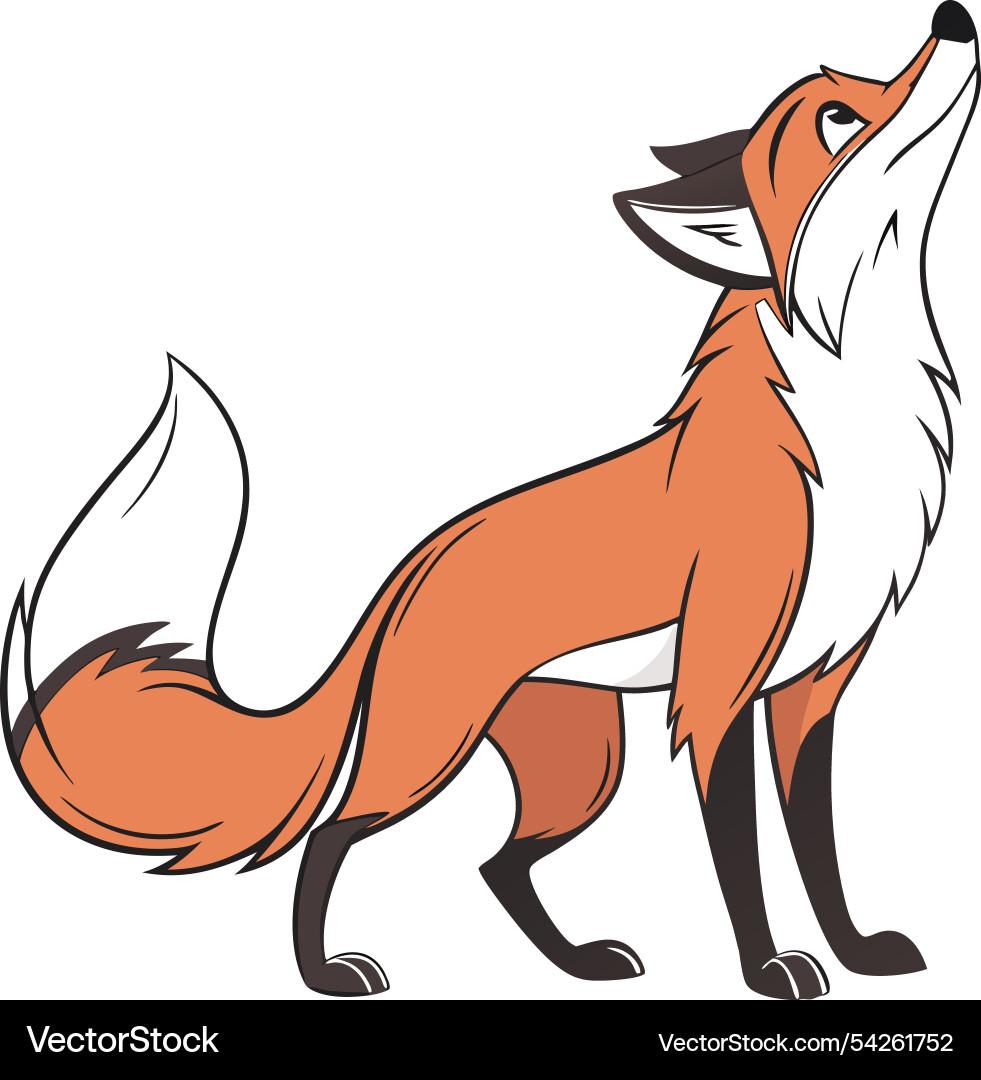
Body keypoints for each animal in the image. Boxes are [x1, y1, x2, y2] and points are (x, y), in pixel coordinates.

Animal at [2, 3, 977, 1001]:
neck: (852, 419)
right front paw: (772, 968)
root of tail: (408, 569)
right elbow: (739, 857)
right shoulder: (715, 695)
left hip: (580, 769)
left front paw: (855, 952)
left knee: (496, 863)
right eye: (835, 115)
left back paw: (578, 963)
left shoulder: (811, 690)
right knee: (332, 838)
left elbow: (819, 847)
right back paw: (328, 972)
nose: (951, 19)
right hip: (435, 753)